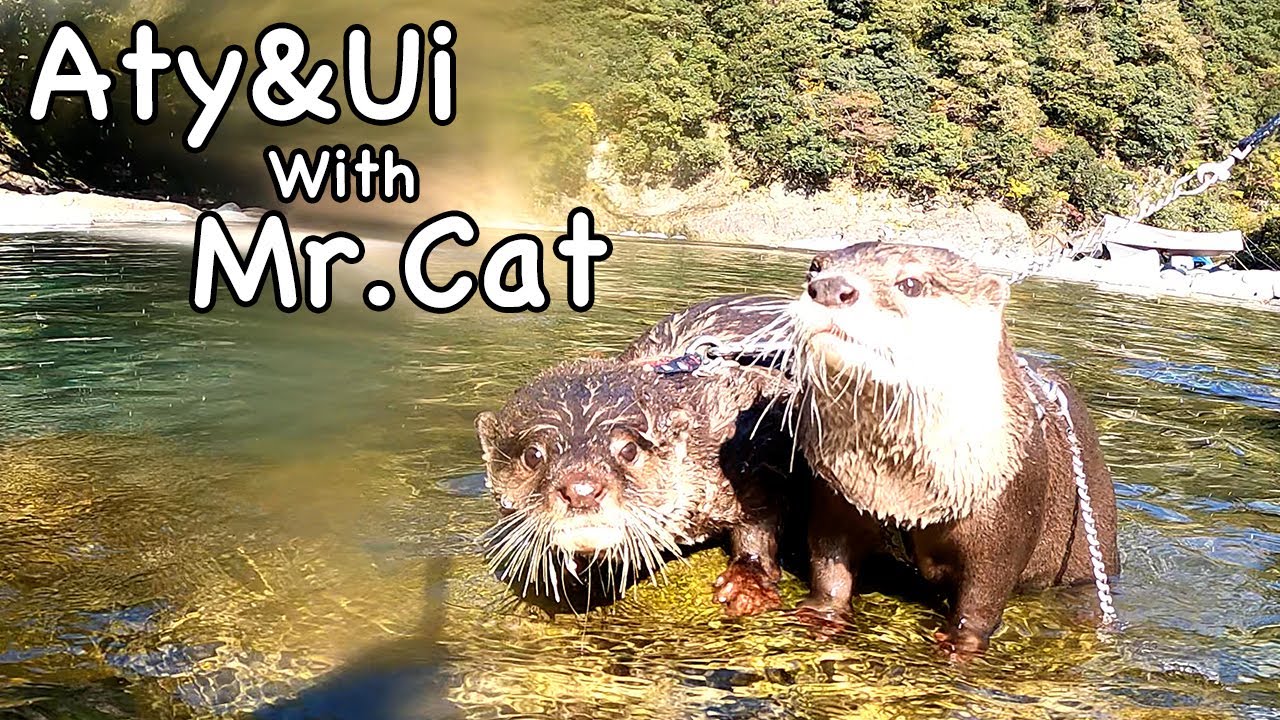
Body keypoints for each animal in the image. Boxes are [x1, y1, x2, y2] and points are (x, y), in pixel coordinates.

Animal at [475, 295, 802, 616]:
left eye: (628, 450)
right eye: (533, 455)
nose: (581, 490)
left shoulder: (754, 446)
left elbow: (759, 521)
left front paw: (747, 585)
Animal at [786, 242, 1119, 656]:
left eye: (911, 283)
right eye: (815, 267)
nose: (830, 288)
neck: (907, 493)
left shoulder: (1007, 513)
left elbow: (985, 593)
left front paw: (962, 642)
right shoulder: (837, 493)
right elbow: (829, 559)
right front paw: (822, 613)